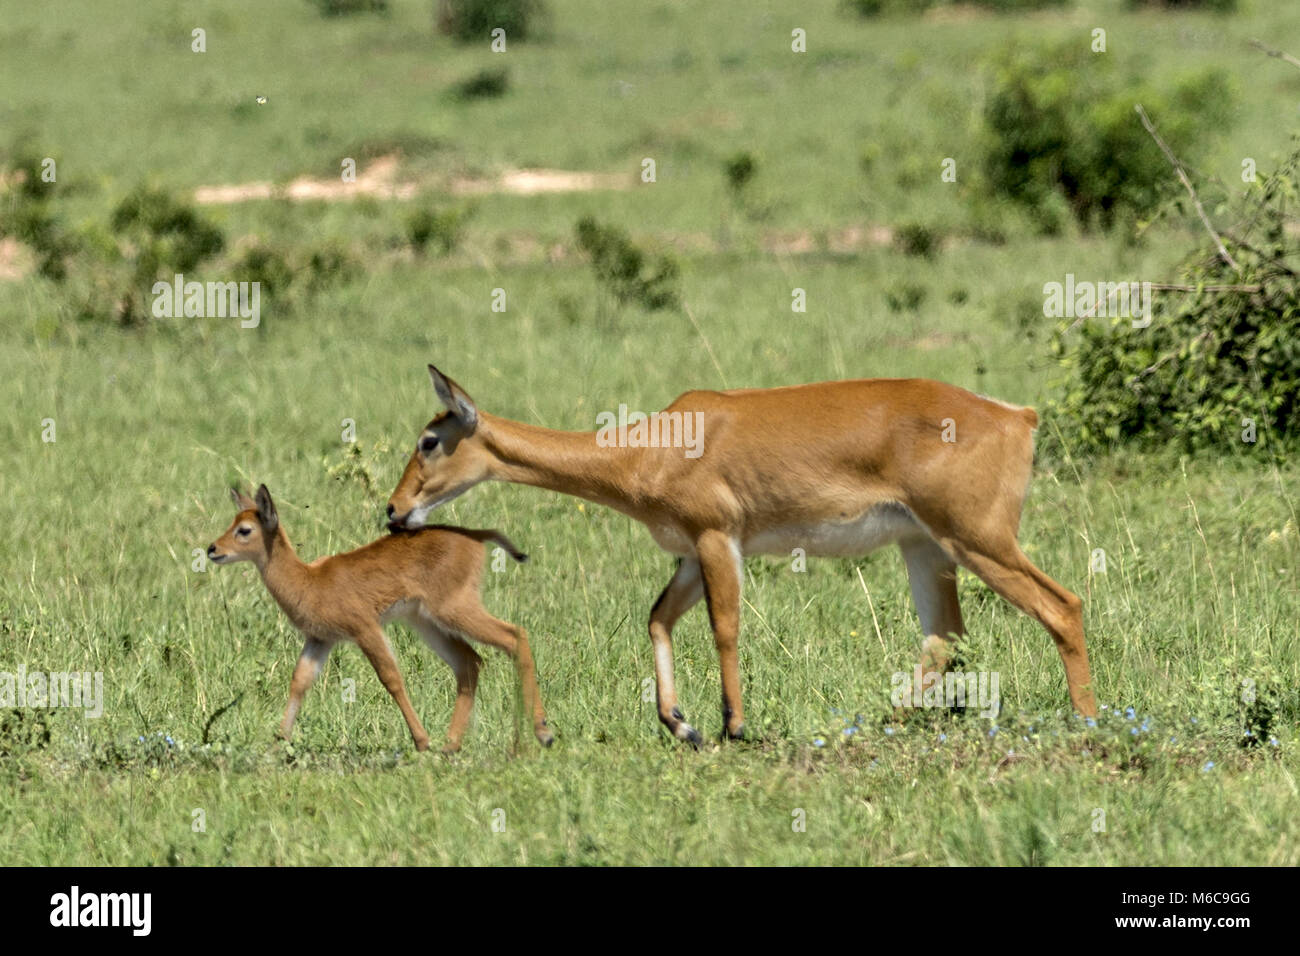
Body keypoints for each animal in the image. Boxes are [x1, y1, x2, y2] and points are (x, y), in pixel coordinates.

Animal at [208, 484, 553, 753]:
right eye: (234, 521)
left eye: (244, 529)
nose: (212, 549)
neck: (309, 581)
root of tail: (475, 536)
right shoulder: (320, 639)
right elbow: (300, 681)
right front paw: (278, 744)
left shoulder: (365, 628)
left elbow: (391, 678)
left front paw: (421, 740)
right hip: (428, 623)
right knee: (470, 661)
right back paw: (451, 745)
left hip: (454, 609)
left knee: (515, 636)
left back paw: (542, 732)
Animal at [387, 367, 1097, 744]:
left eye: (429, 440)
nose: (393, 512)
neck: (648, 448)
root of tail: (1018, 416)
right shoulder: (688, 555)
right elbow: (658, 618)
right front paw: (682, 725)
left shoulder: (717, 537)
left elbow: (724, 627)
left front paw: (732, 726)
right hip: (924, 545)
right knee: (944, 636)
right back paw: (866, 725)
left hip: (977, 540)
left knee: (1062, 604)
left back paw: (1090, 723)